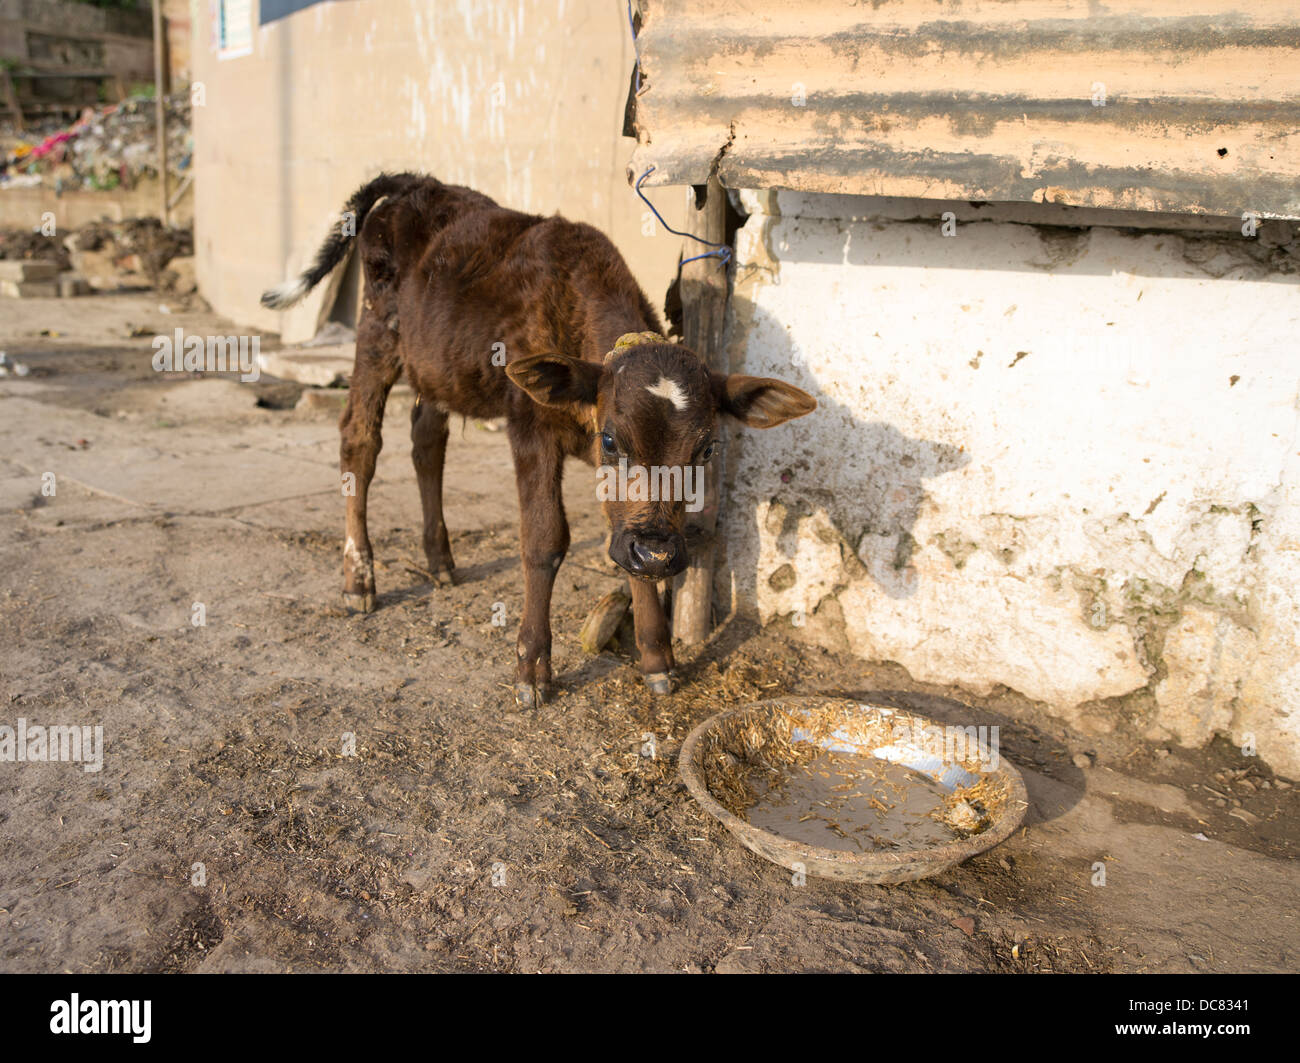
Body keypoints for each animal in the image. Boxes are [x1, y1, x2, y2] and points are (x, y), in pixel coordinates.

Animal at [262, 173, 815, 706]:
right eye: (611, 441)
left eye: (706, 450)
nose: (658, 554)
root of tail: (416, 182)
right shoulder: (529, 425)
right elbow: (544, 539)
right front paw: (532, 668)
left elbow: (624, 539)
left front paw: (657, 659)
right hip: (377, 330)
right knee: (359, 440)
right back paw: (359, 579)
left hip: (436, 364)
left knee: (426, 439)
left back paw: (440, 561)